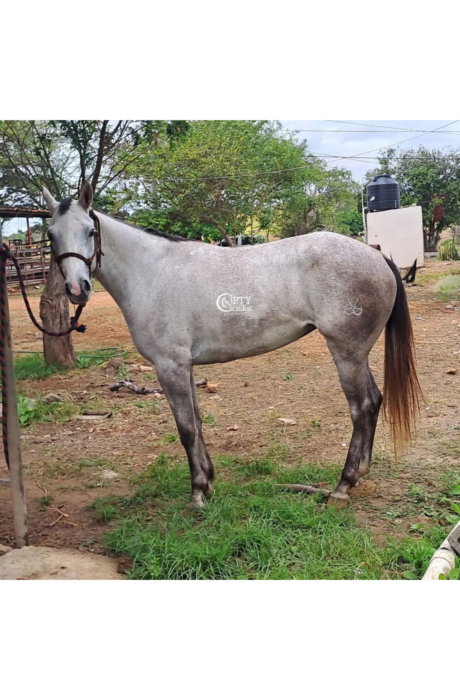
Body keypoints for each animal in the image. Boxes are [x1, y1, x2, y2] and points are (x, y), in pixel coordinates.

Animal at [42, 182, 421, 507]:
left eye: (90, 232)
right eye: (50, 235)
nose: (76, 288)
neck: (152, 273)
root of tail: (376, 257)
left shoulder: (169, 367)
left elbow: (186, 429)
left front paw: (197, 493)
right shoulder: (184, 367)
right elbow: (196, 423)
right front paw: (208, 482)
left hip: (347, 353)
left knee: (363, 407)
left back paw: (343, 485)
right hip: (356, 354)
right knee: (374, 402)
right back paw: (358, 475)